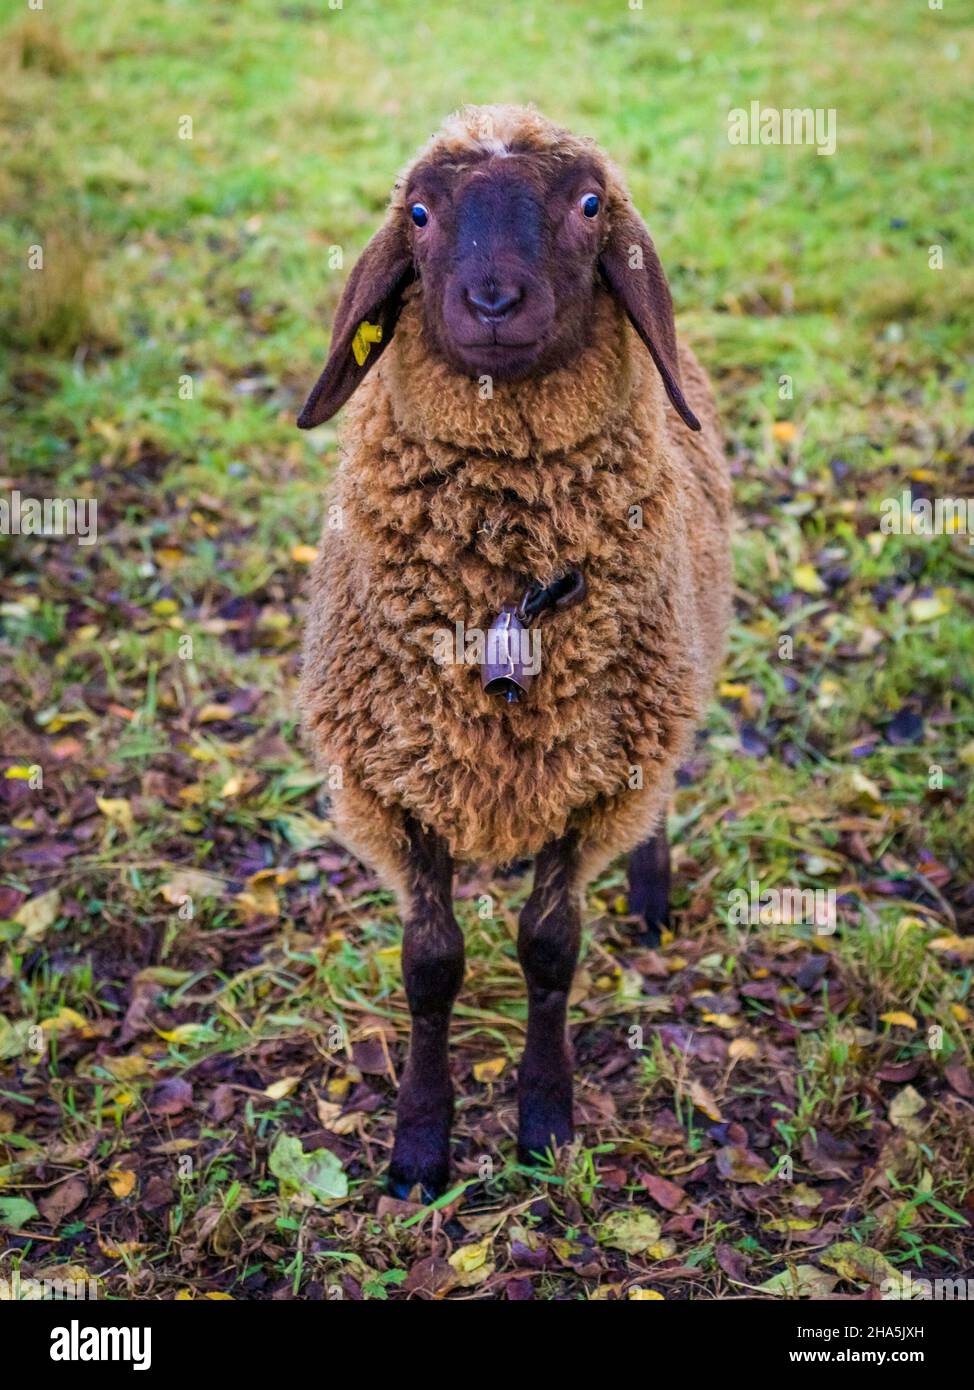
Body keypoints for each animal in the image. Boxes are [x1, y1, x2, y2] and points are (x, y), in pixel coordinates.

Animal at [297, 104, 732, 1199]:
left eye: (589, 204)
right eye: (417, 212)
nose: (492, 300)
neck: (501, 582)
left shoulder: (598, 779)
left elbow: (549, 950)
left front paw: (543, 1119)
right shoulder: (391, 780)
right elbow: (430, 964)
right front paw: (419, 1145)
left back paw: (650, 895)